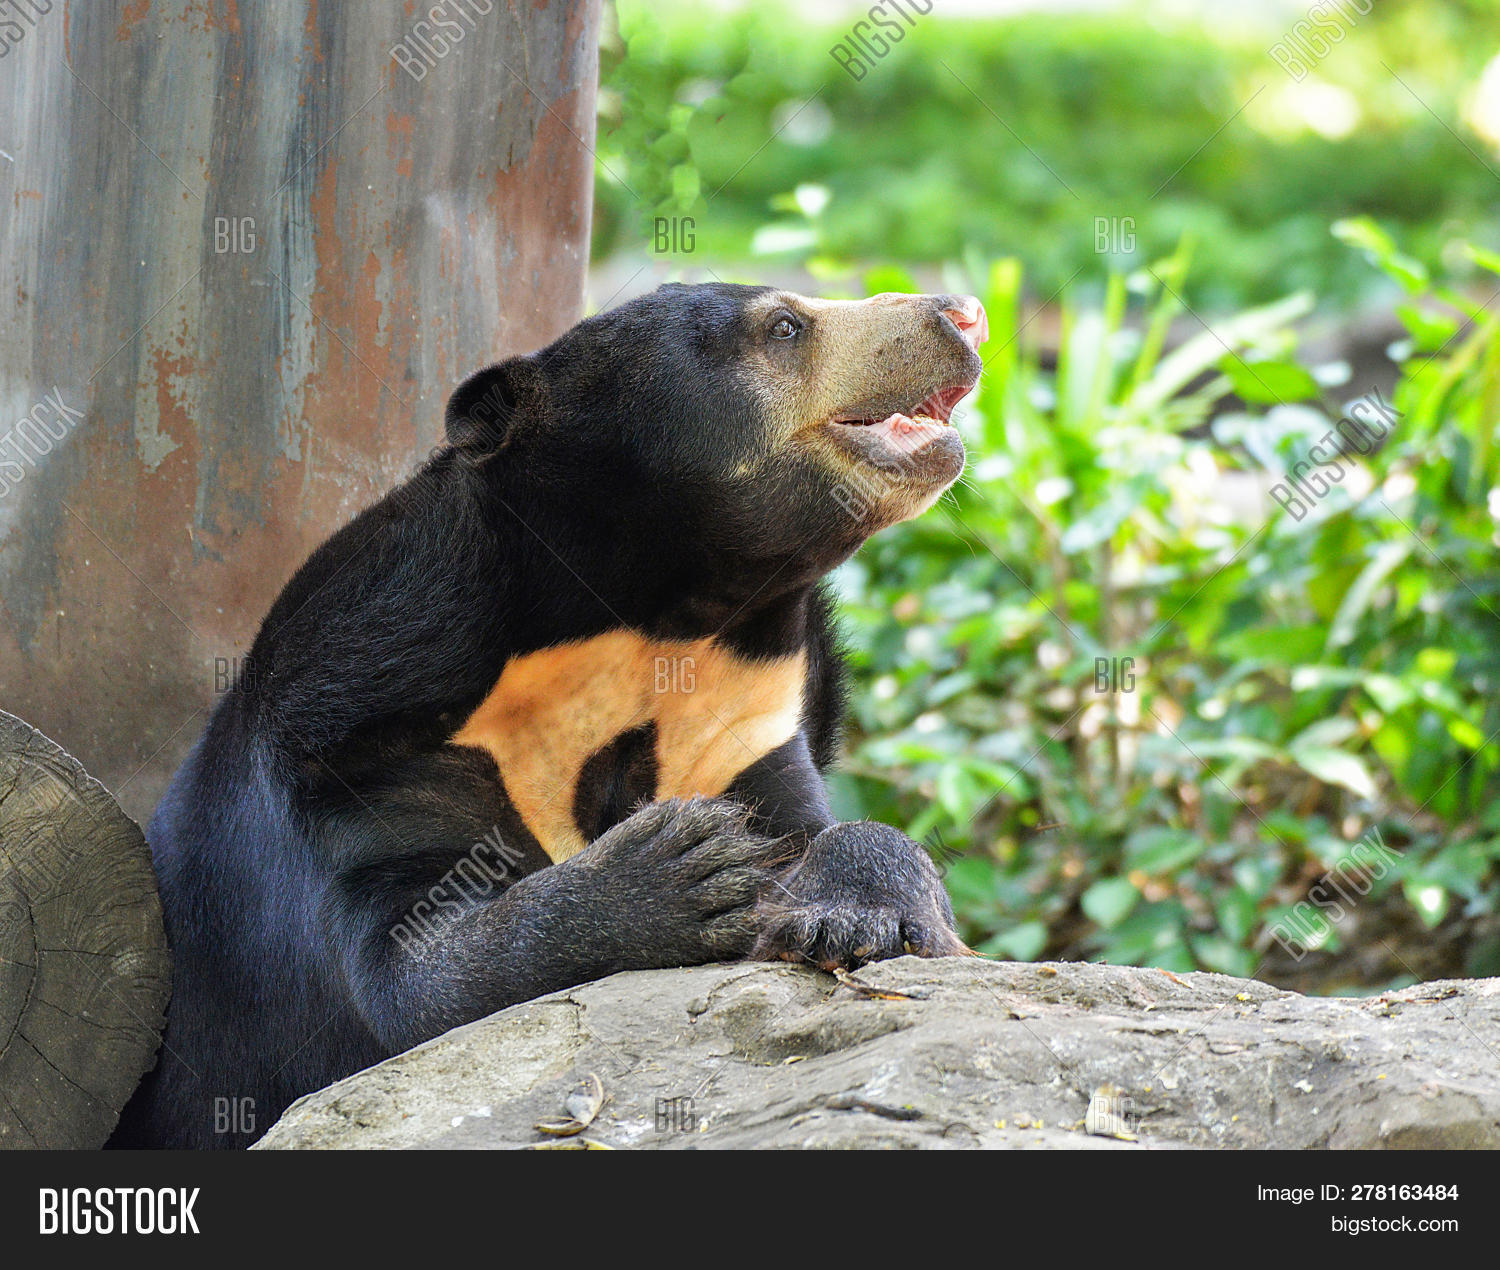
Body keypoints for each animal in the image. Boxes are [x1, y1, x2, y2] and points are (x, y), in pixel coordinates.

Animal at [108, 282, 988, 1149]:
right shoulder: (360, 735)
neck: (644, 629)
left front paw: (853, 916)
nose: (965, 315)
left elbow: (817, 836)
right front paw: (680, 869)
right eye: (783, 326)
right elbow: (412, 975)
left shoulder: (742, 719)